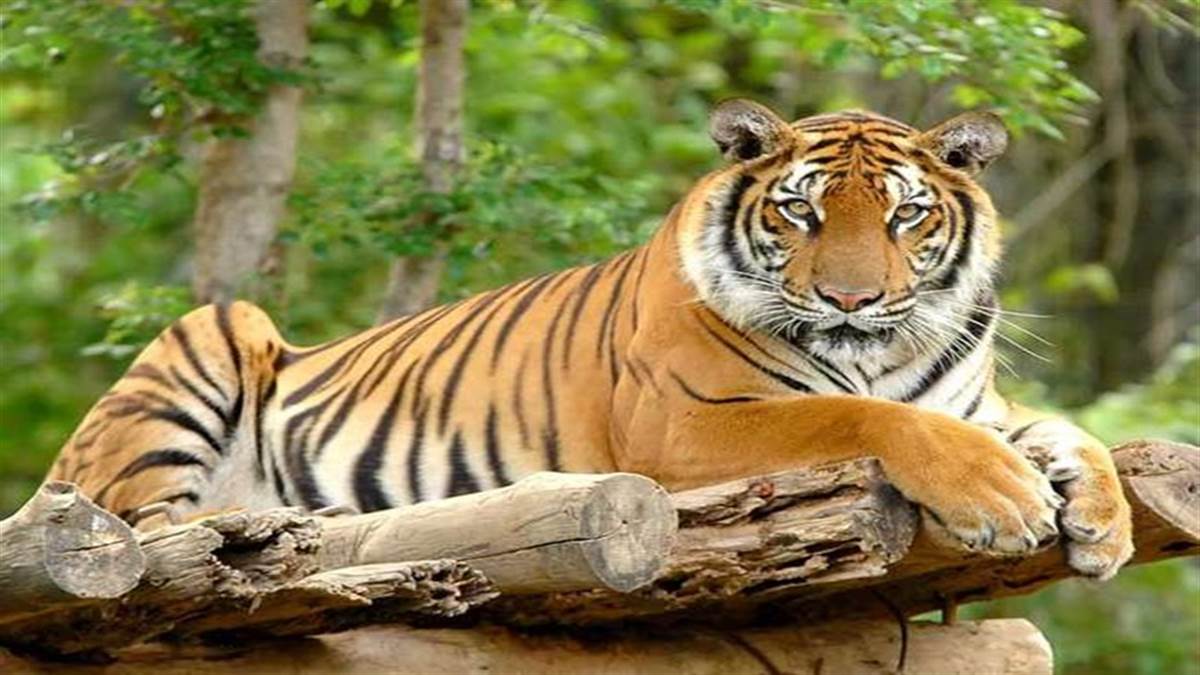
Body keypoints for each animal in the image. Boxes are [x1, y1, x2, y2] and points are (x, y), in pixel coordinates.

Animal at [47, 99, 1133, 579]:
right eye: (802, 212)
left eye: (906, 215)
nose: (854, 298)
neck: (881, 350)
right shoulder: (689, 426)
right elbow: (860, 415)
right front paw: (1003, 500)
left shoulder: (980, 402)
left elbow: (1074, 435)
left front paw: (1106, 524)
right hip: (211, 339)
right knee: (145, 524)